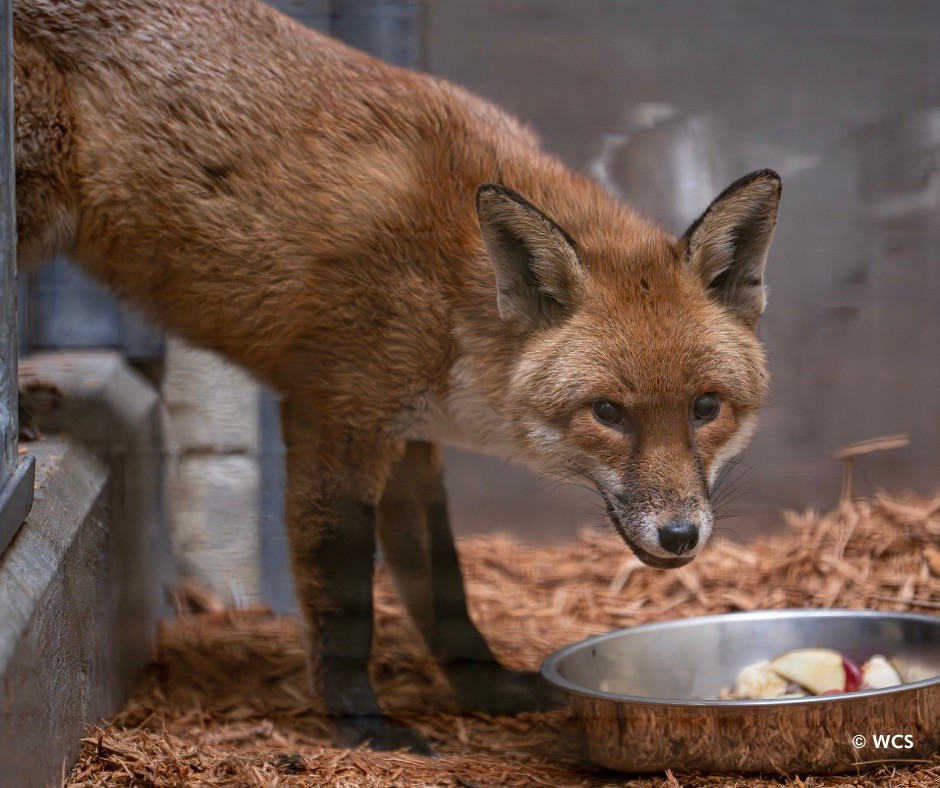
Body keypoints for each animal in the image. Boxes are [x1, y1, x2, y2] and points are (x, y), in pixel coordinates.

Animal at [13, 0, 779, 753]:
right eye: (609, 413)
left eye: (706, 407)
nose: (680, 536)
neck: (453, 297)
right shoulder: (336, 416)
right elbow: (347, 596)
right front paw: (359, 722)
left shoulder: (412, 439)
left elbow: (444, 589)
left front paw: (486, 689)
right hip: (33, 201)